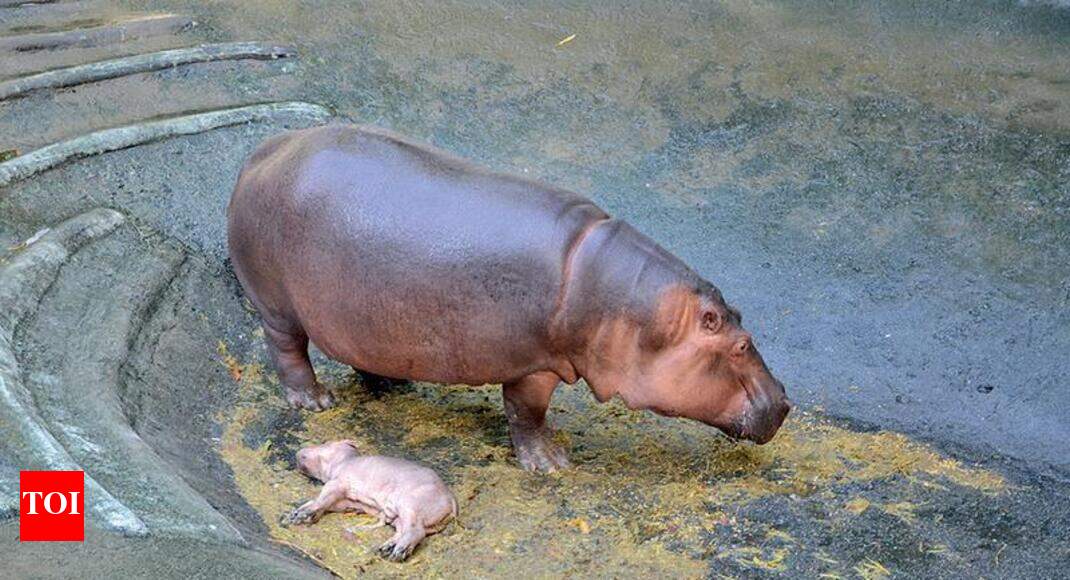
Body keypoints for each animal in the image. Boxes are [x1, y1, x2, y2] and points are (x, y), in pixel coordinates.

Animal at [228, 124, 791, 472]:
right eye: (741, 345)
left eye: (745, 322)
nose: (785, 402)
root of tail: (264, 151)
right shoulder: (535, 363)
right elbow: (525, 413)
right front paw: (552, 464)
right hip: (276, 303)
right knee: (287, 349)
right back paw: (314, 400)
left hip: (365, 315)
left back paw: (392, 383)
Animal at [282, 440, 456, 562]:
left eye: (325, 442)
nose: (298, 453)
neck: (341, 463)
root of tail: (452, 501)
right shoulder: (345, 501)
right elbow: (321, 502)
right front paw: (291, 516)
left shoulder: (339, 482)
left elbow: (322, 498)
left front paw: (299, 517)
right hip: (403, 518)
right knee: (404, 531)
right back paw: (384, 550)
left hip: (411, 505)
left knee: (416, 531)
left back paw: (396, 554)